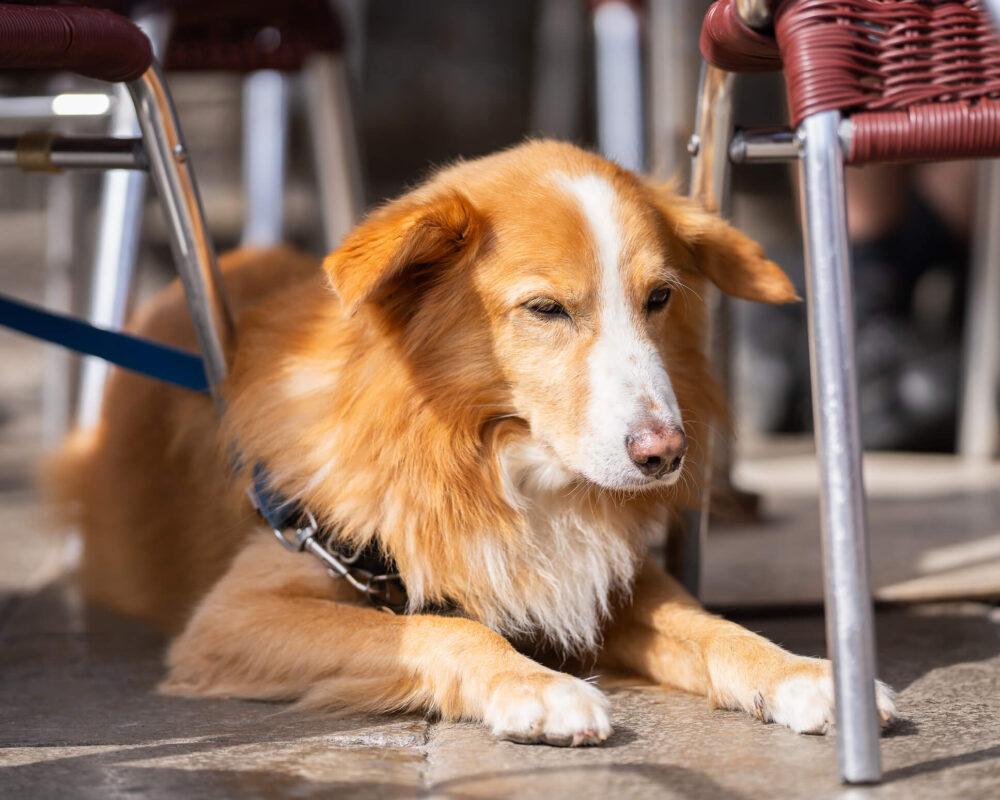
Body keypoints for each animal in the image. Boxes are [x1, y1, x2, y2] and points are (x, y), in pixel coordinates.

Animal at [50, 142, 900, 744]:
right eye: (546, 309)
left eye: (660, 298)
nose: (665, 455)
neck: (490, 459)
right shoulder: (233, 615)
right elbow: (442, 626)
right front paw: (538, 687)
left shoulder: (610, 581)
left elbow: (714, 628)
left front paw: (807, 673)